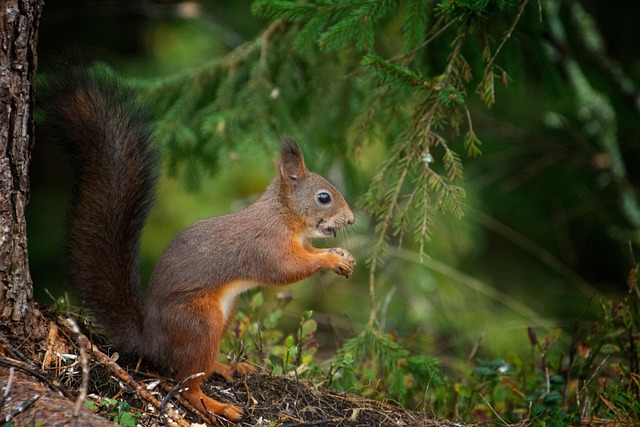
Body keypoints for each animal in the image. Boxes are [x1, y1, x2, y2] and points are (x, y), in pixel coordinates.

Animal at [47, 70, 356, 421]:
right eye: (324, 197)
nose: (351, 220)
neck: (283, 216)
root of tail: (151, 342)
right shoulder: (267, 245)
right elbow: (287, 269)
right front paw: (332, 259)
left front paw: (343, 255)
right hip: (199, 322)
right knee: (186, 386)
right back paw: (216, 405)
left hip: (224, 316)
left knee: (198, 369)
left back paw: (225, 367)